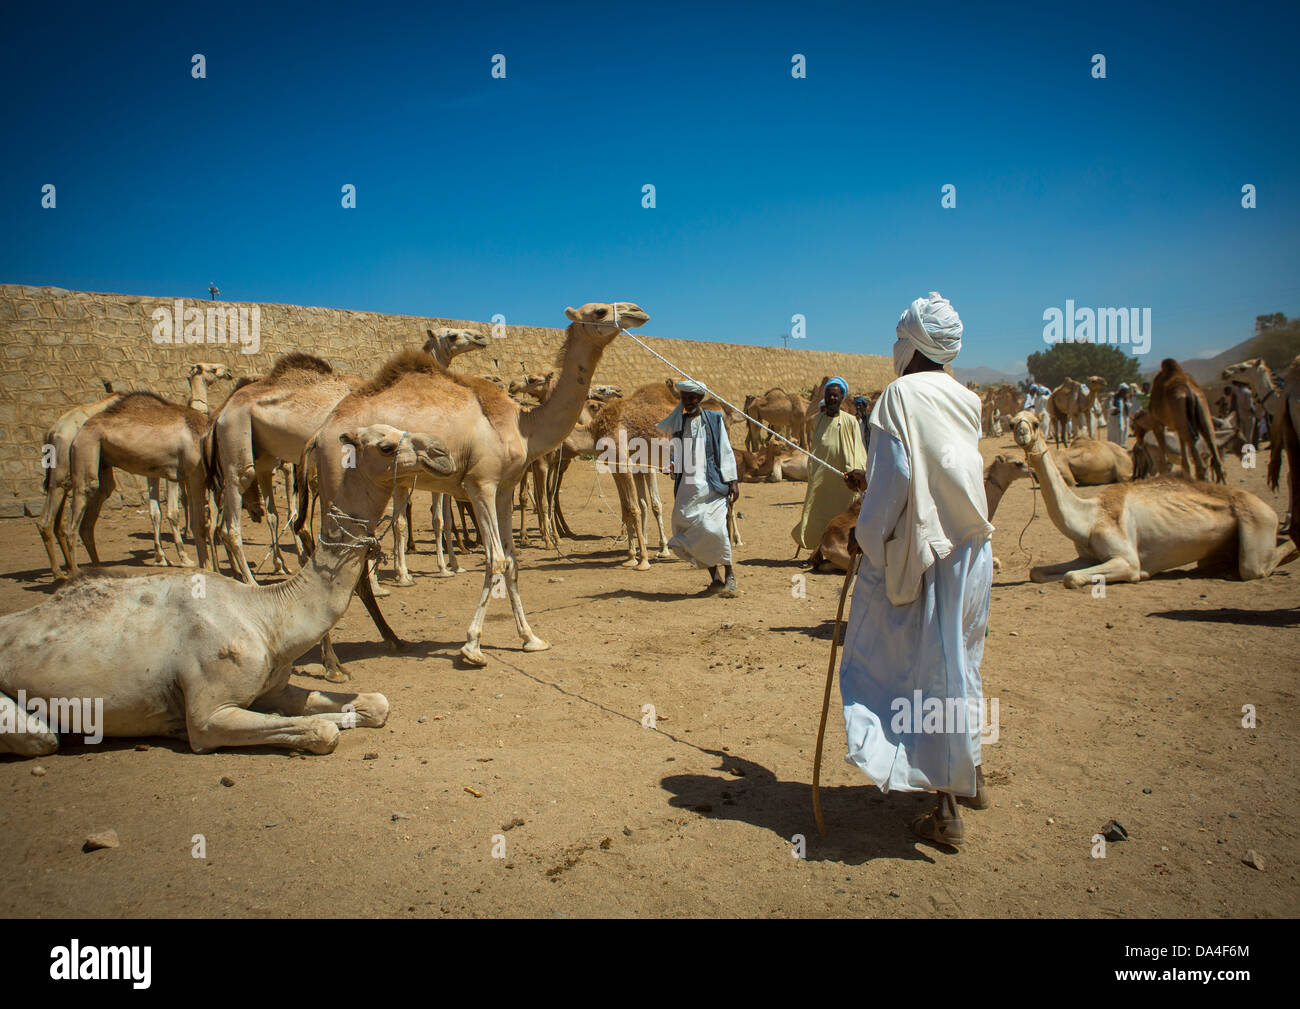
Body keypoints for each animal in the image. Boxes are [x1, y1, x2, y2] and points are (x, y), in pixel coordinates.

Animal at [0, 425, 451, 757]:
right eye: (386, 445)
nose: (443, 451)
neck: (267, 616)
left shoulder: (275, 684)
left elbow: (375, 705)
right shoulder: (209, 713)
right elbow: (321, 732)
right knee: (40, 738)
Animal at [65, 393, 211, 576]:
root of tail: (78, 433)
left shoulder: (158, 472)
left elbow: (158, 512)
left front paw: (162, 558)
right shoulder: (188, 474)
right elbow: (184, 517)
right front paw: (187, 560)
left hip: (102, 464)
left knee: (88, 521)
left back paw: (98, 569)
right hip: (86, 450)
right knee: (72, 525)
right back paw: (75, 572)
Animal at [307, 301, 650, 671]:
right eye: (599, 311)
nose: (637, 311)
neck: (522, 424)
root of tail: (322, 432)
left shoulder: (505, 486)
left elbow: (511, 561)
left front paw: (531, 638)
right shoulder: (480, 484)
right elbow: (495, 560)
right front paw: (472, 647)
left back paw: (393, 640)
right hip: (337, 482)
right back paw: (332, 664)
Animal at [1008, 410, 1295, 586]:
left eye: (1035, 423)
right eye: (1013, 423)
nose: (1022, 433)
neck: (1088, 518)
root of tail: (1268, 508)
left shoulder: (1126, 559)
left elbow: (1072, 577)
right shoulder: (1088, 557)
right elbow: (1038, 571)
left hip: (1258, 523)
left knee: (1254, 567)